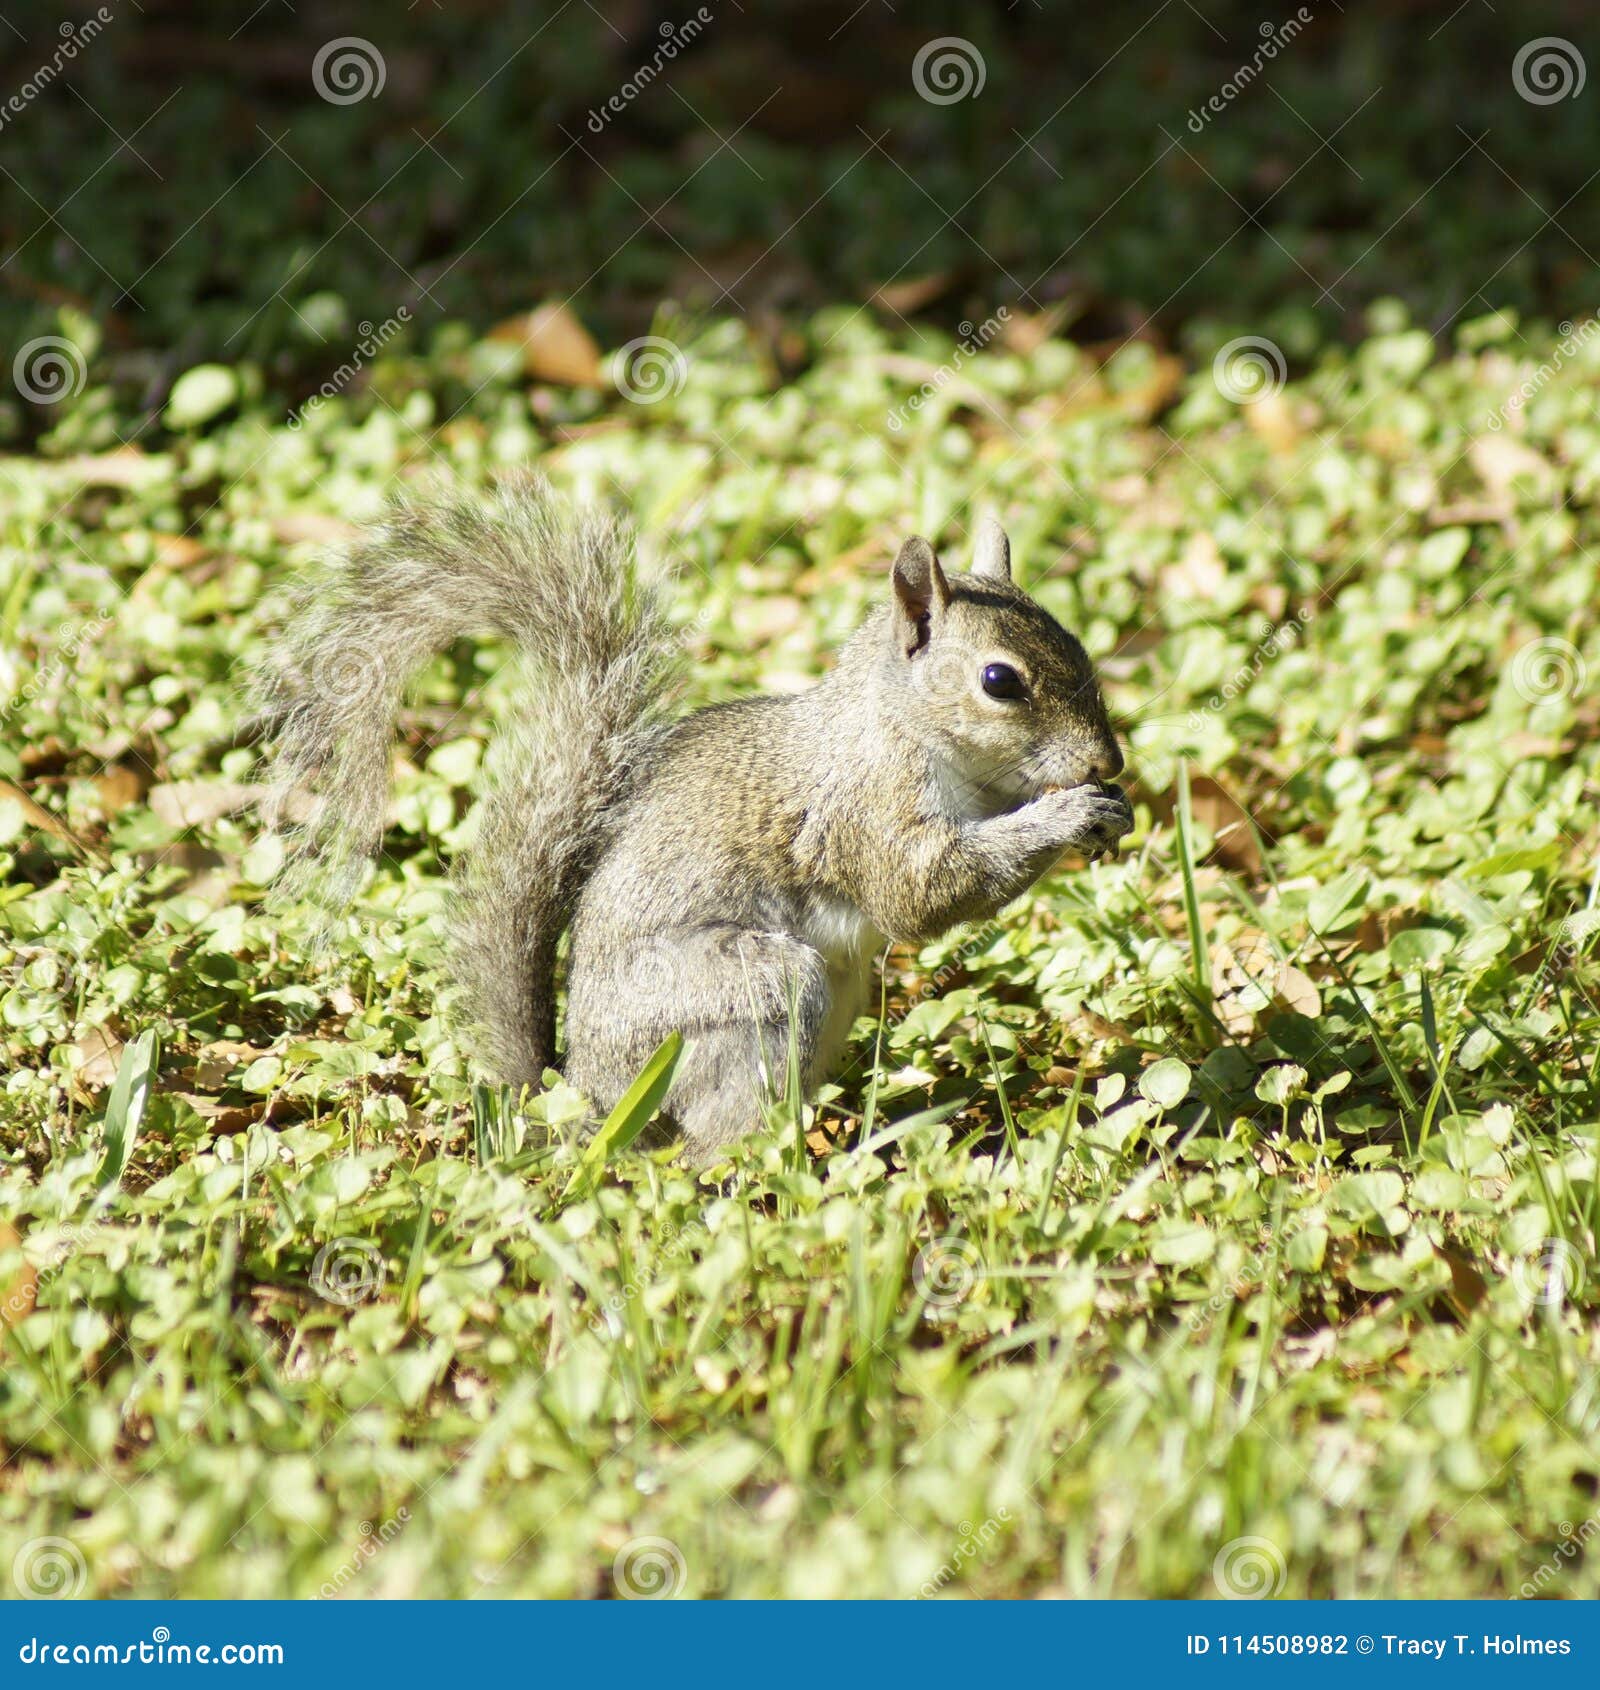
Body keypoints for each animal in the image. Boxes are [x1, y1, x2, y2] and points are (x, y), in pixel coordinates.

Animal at [256, 476, 1132, 1162]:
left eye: (1079, 645)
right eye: (999, 681)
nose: (1110, 762)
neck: (896, 722)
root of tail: (583, 1103)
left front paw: (1106, 815)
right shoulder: (866, 807)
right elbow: (920, 896)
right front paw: (1067, 814)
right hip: (734, 1000)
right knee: (711, 1139)